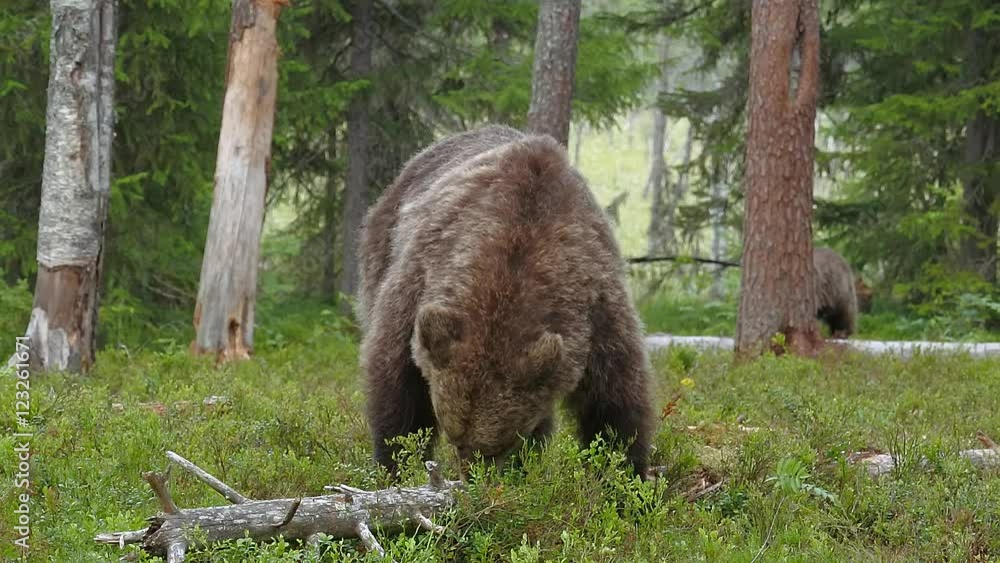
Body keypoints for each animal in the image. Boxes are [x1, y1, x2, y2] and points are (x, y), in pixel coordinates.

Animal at [357, 124, 654, 480]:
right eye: (456, 437)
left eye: (498, 444)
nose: (471, 480)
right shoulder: (418, 279)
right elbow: (397, 377)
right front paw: (395, 463)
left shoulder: (597, 305)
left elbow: (615, 398)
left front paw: (623, 472)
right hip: (382, 244)